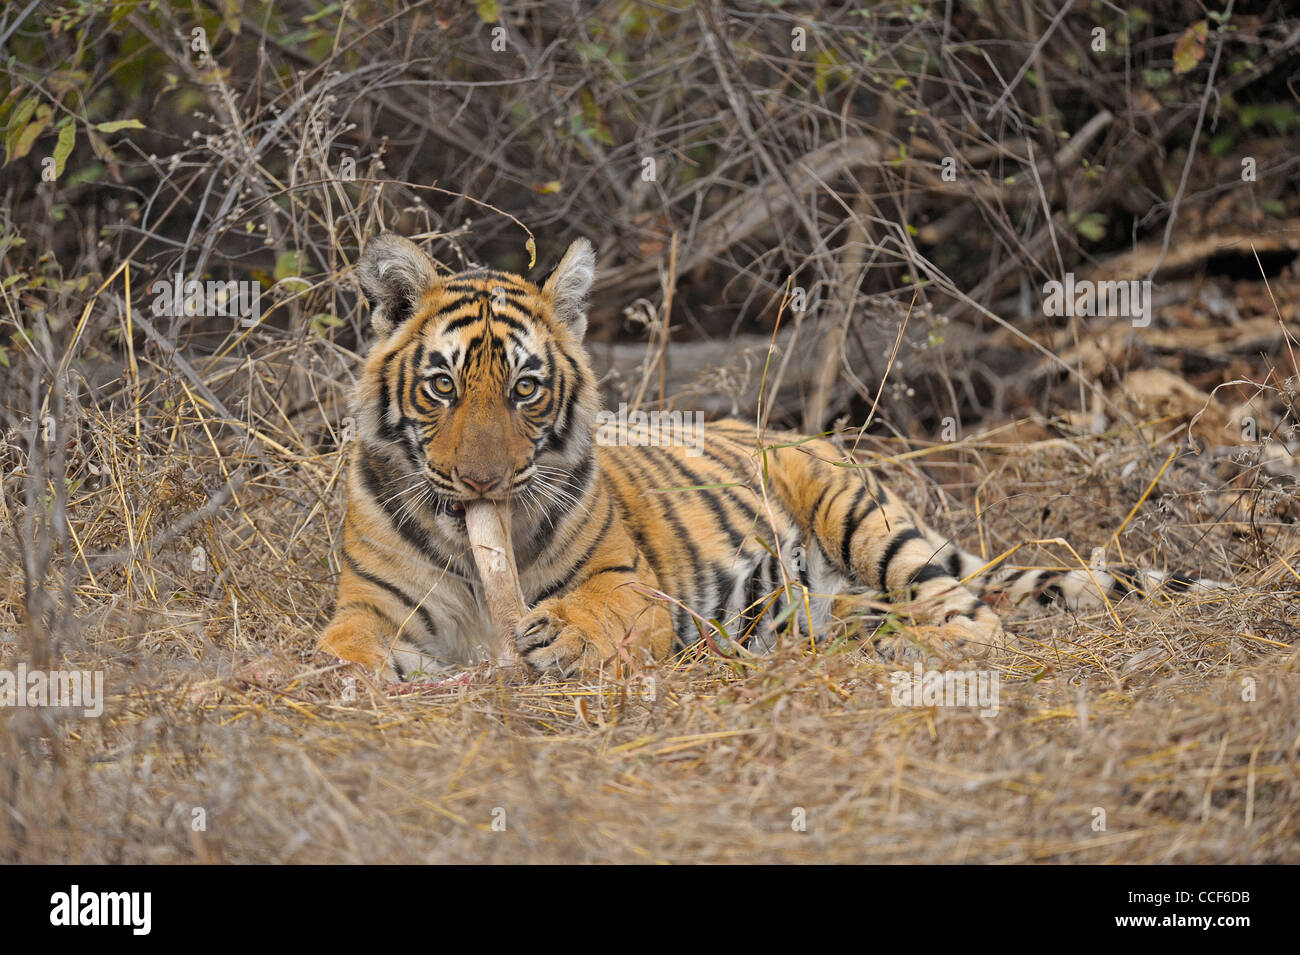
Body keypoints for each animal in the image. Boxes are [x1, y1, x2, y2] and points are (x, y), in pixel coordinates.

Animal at [319, 233, 1211, 680]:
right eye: (443, 385)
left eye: (526, 388)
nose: (484, 481)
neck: (479, 552)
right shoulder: (367, 603)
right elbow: (344, 649)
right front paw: (352, 679)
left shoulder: (632, 586)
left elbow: (601, 610)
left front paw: (562, 639)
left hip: (858, 512)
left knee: (974, 619)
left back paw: (910, 647)